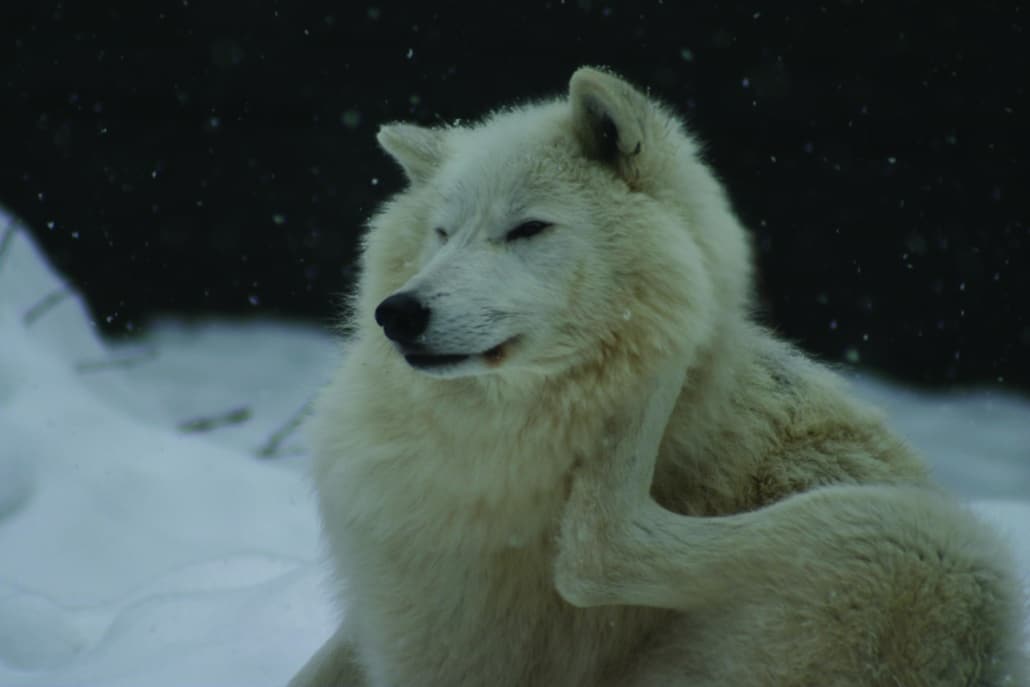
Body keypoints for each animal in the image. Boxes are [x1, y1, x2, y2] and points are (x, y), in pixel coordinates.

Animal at [289, 67, 1025, 686]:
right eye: (443, 233)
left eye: (528, 229)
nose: (398, 313)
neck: (485, 453)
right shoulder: (385, 613)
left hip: (940, 548)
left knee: (597, 552)